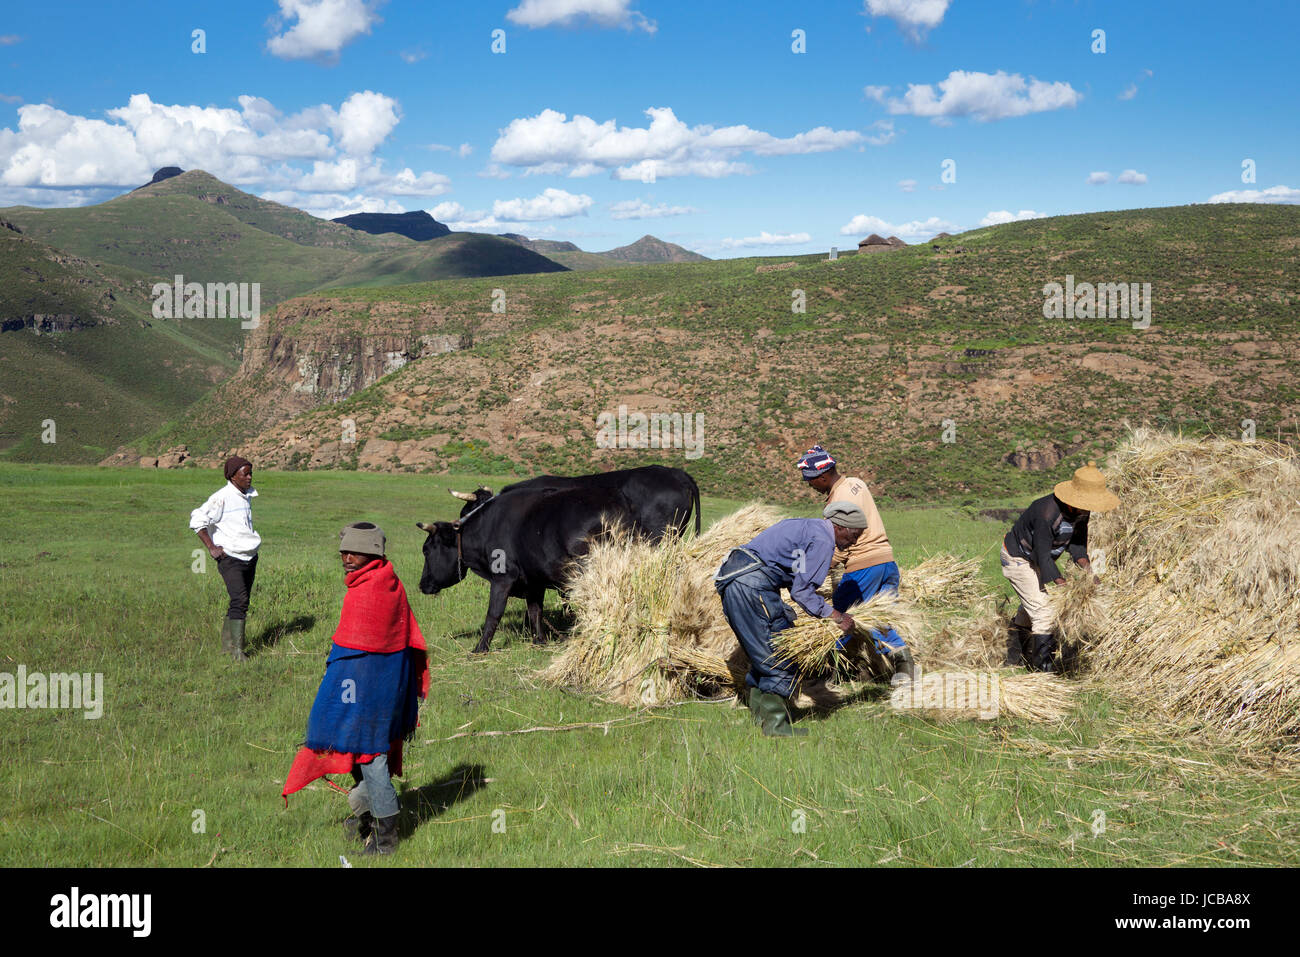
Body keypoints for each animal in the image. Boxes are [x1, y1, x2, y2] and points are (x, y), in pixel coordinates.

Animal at [416, 481, 639, 655]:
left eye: (426, 549)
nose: (422, 585)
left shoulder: (502, 578)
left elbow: (494, 613)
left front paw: (480, 648)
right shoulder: (534, 581)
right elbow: (535, 611)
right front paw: (539, 641)